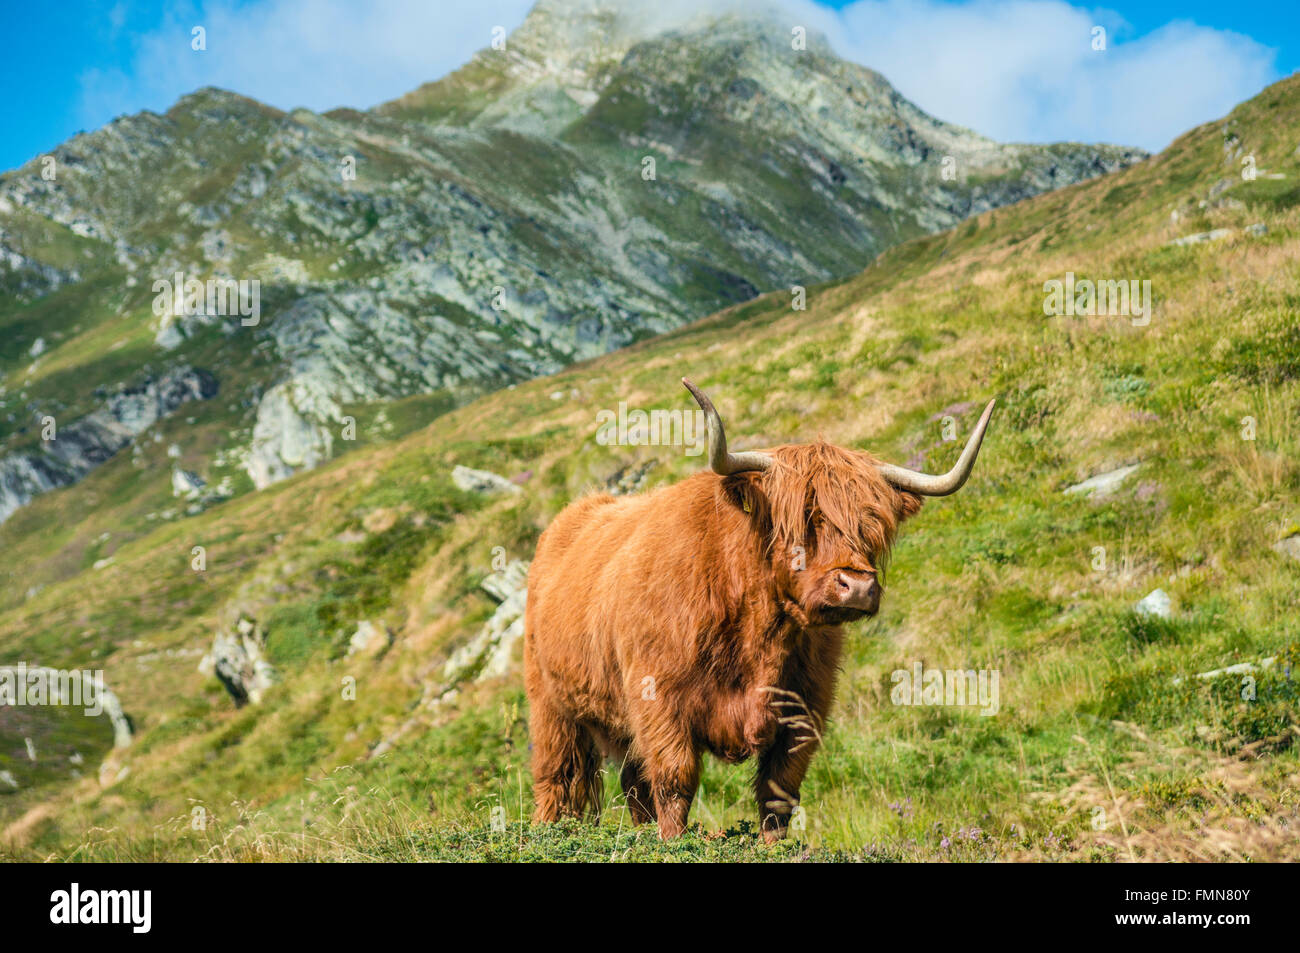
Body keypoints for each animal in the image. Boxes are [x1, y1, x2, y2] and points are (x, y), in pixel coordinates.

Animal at [524, 379, 995, 840]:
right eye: (805, 518)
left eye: (872, 526)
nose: (857, 586)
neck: (759, 631)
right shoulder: (659, 701)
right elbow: (675, 783)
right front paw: (673, 844)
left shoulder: (805, 709)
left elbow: (778, 793)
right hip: (552, 707)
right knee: (558, 777)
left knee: (633, 784)